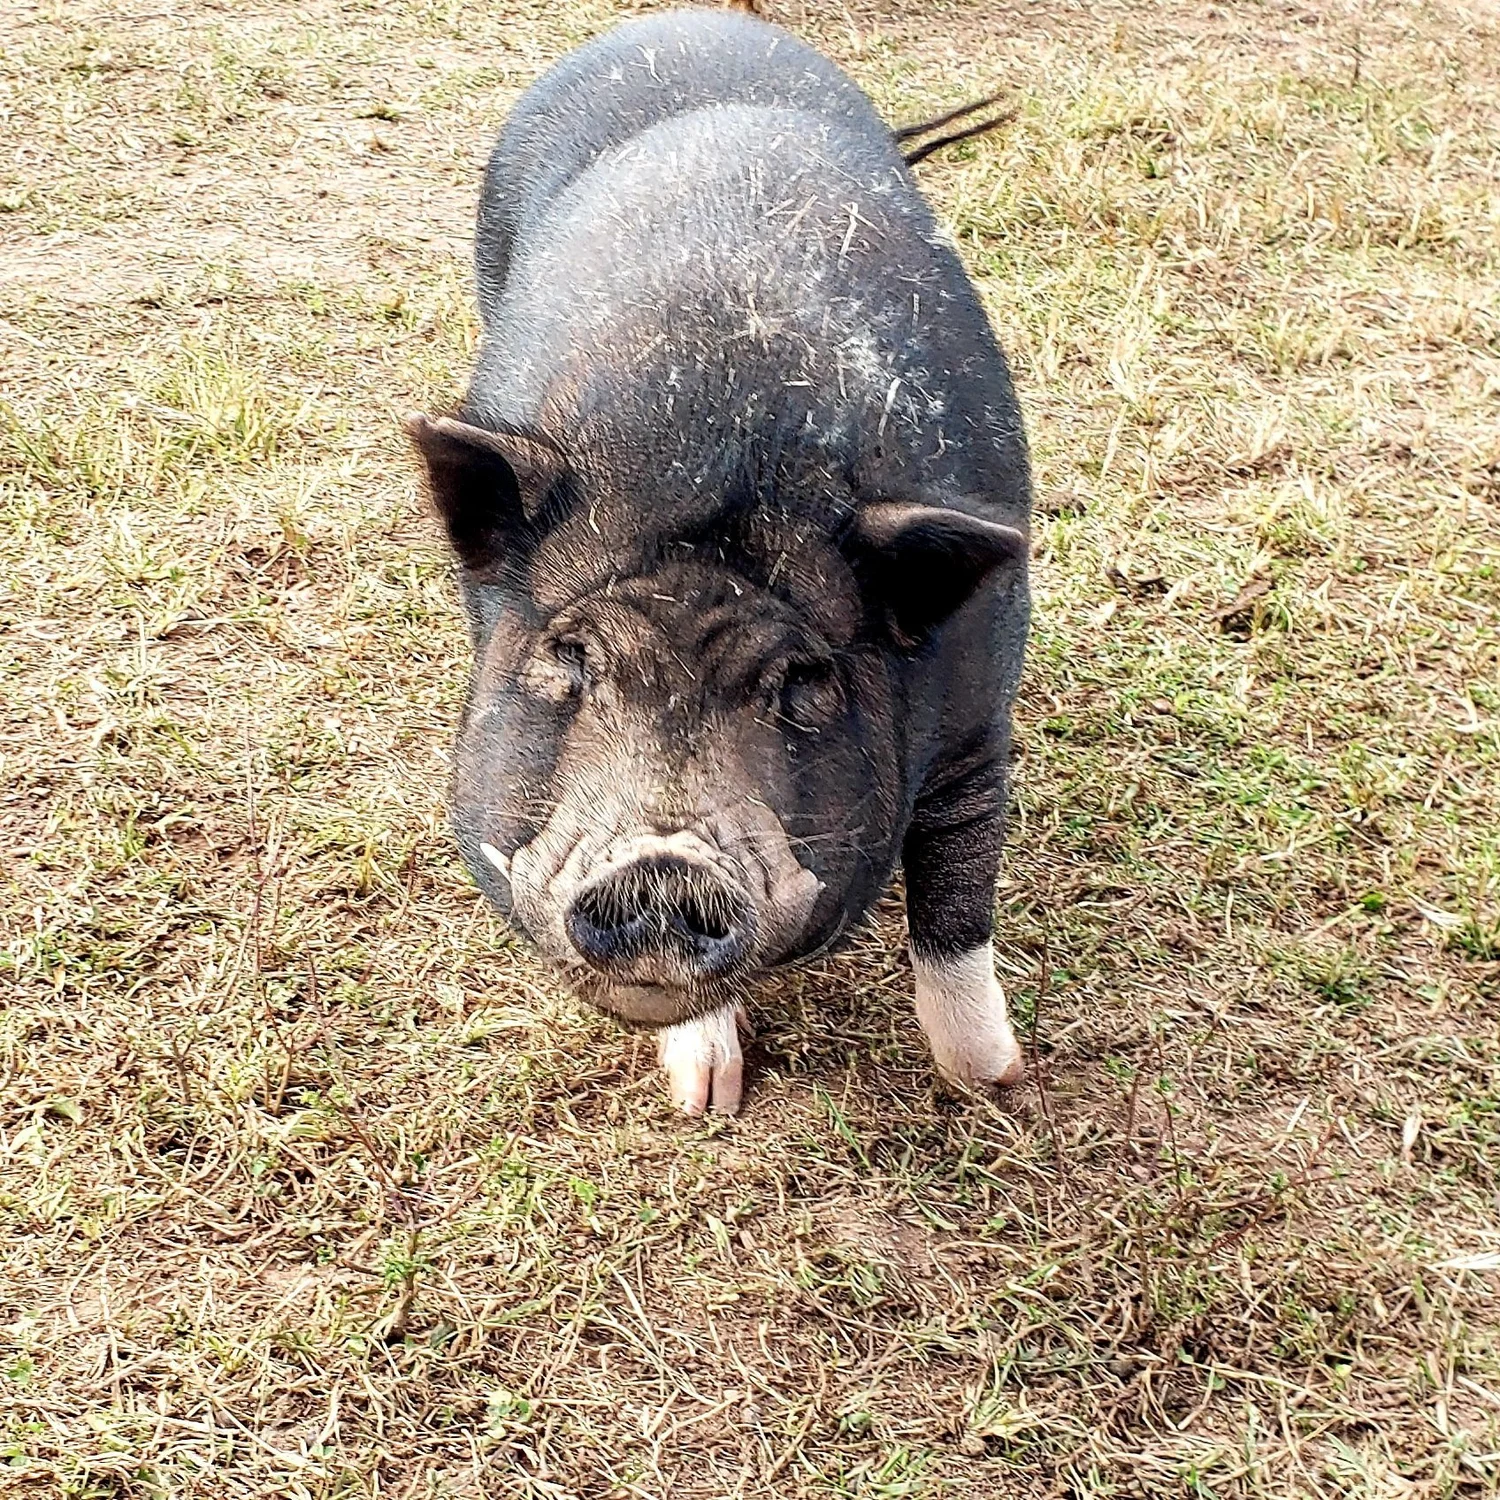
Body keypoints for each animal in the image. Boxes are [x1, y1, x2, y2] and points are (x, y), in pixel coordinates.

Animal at [406, 8, 1032, 1116]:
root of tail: (686, 19)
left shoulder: (978, 724)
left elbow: (958, 906)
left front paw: (1001, 1085)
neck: (722, 451)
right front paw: (707, 1103)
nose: (664, 865)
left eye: (805, 682)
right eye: (569, 659)